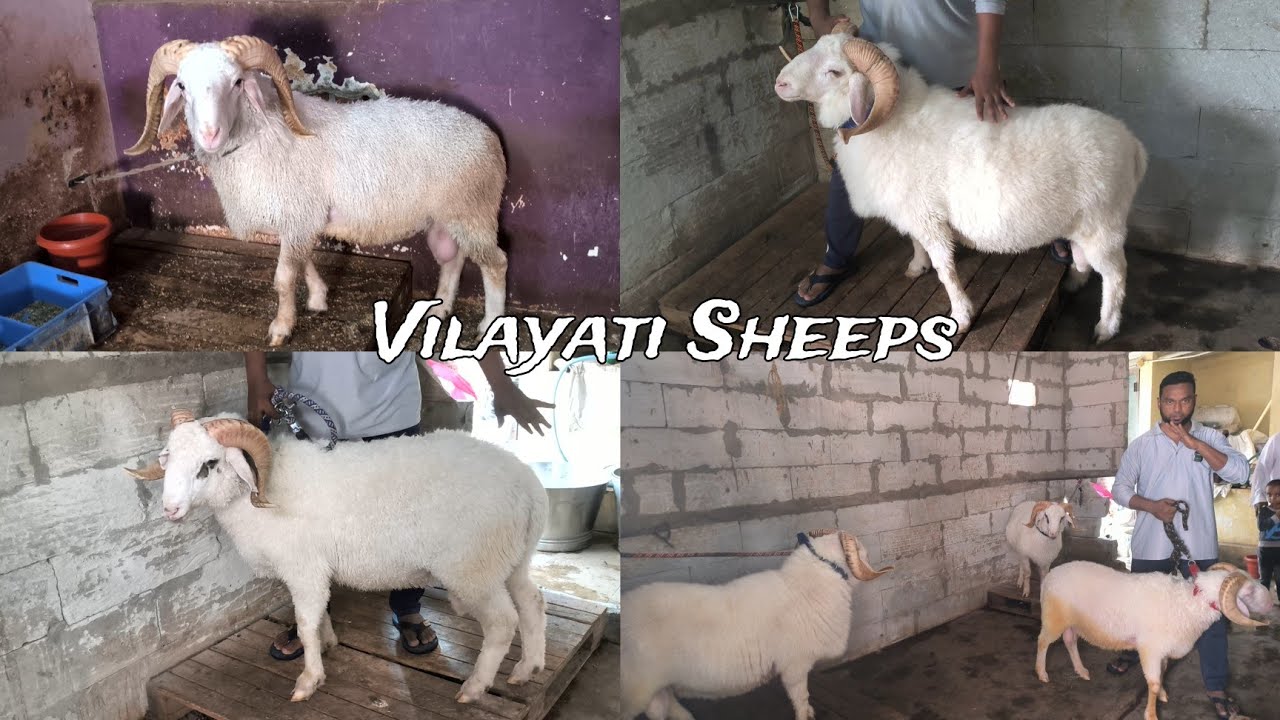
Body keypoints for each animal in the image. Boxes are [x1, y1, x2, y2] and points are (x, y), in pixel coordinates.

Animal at [123, 36, 507, 346]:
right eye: (182, 85)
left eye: (237, 82)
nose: (210, 134)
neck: (263, 132)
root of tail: (491, 140)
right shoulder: (300, 218)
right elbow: (304, 260)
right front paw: (319, 298)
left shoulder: (298, 213)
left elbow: (283, 278)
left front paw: (282, 327)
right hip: (446, 218)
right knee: (454, 259)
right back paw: (439, 310)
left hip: (473, 210)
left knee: (496, 264)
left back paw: (490, 323)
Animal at [126, 409, 547, 704]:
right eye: (167, 458)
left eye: (209, 465)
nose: (170, 510)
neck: (258, 492)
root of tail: (528, 484)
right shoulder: (314, 569)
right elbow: (319, 616)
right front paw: (327, 643)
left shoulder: (303, 568)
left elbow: (304, 622)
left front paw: (309, 680)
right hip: (510, 559)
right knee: (532, 601)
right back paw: (527, 669)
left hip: (474, 566)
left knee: (502, 623)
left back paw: (475, 688)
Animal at [620, 529, 892, 720]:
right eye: (860, 549)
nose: (870, 556)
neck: (806, 585)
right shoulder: (795, 664)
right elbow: (801, 697)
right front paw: (805, 715)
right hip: (636, 688)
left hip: (658, 685)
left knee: (662, 708)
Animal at [773, 23, 1148, 343]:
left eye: (834, 72)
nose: (780, 83)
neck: (892, 124)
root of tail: (1132, 144)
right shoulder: (915, 215)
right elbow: (916, 244)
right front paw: (916, 267)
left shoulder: (929, 219)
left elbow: (945, 269)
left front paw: (962, 316)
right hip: (1083, 223)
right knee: (1084, 257)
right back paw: (1073, 282)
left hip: (1104, 224)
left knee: (1117, 275)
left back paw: (1105, 328)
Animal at [1036, 560, 1272, 720]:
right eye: (1249, 591)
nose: (1271, 603)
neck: (1188, 603)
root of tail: (1050, 575)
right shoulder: (1150, 649)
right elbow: (1154, 681)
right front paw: (1151, 713)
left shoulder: (1163, 650)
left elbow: (1163, 672)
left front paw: (1163, 696)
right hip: (1054, 617)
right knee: (1043, 642)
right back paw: (1042, 673)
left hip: (1072, 622)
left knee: (1070, 641)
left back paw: (1081, 671)